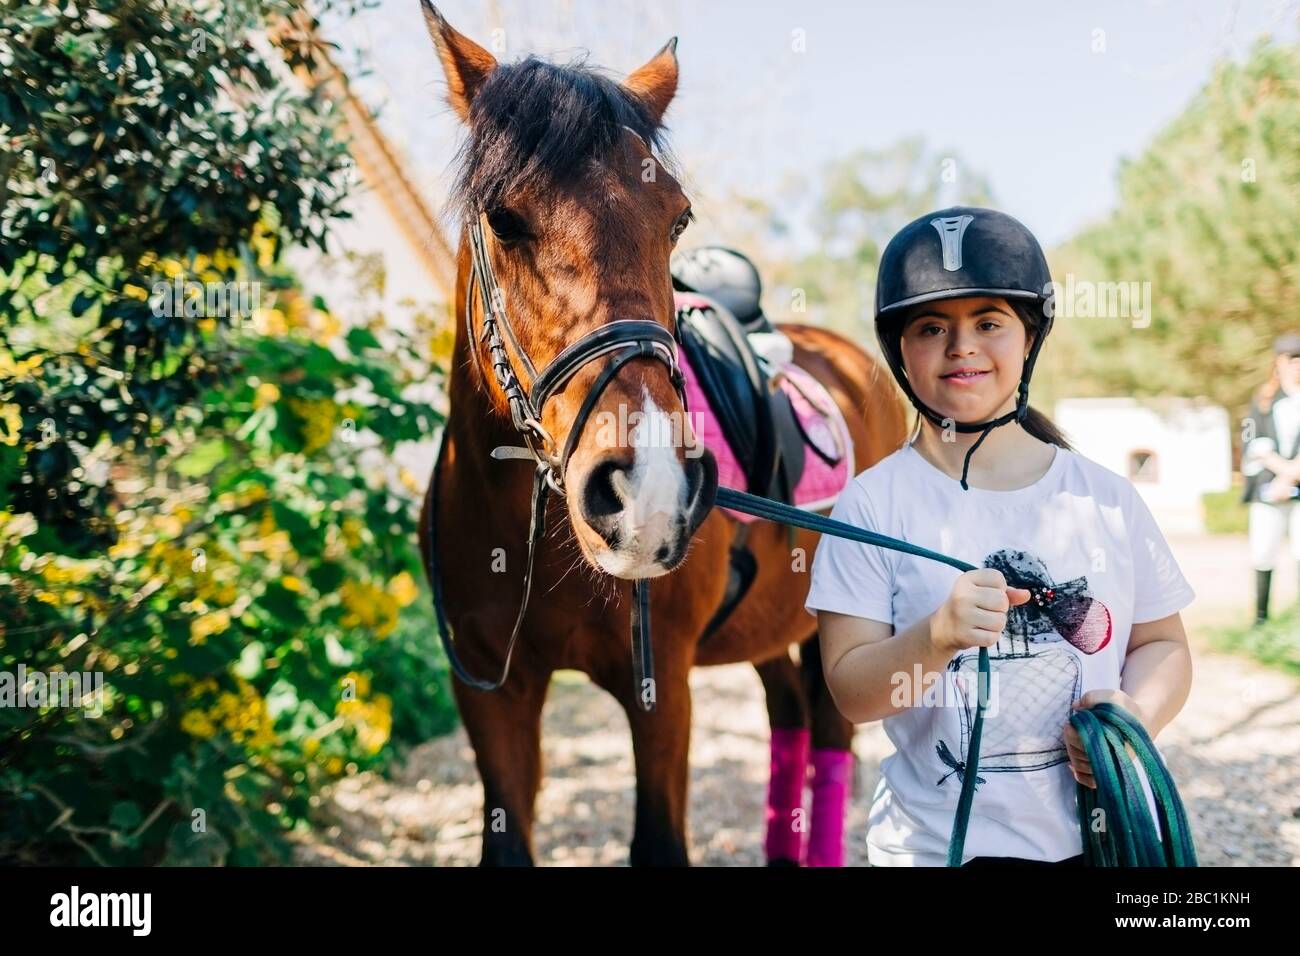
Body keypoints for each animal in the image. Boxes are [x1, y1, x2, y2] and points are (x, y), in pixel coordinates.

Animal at [416, 2, 907, 866]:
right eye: (504, 219)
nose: (645, 492)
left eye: (676, 219)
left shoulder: (661, 690)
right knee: (788, 716)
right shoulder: (491, 694)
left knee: (828, 734)